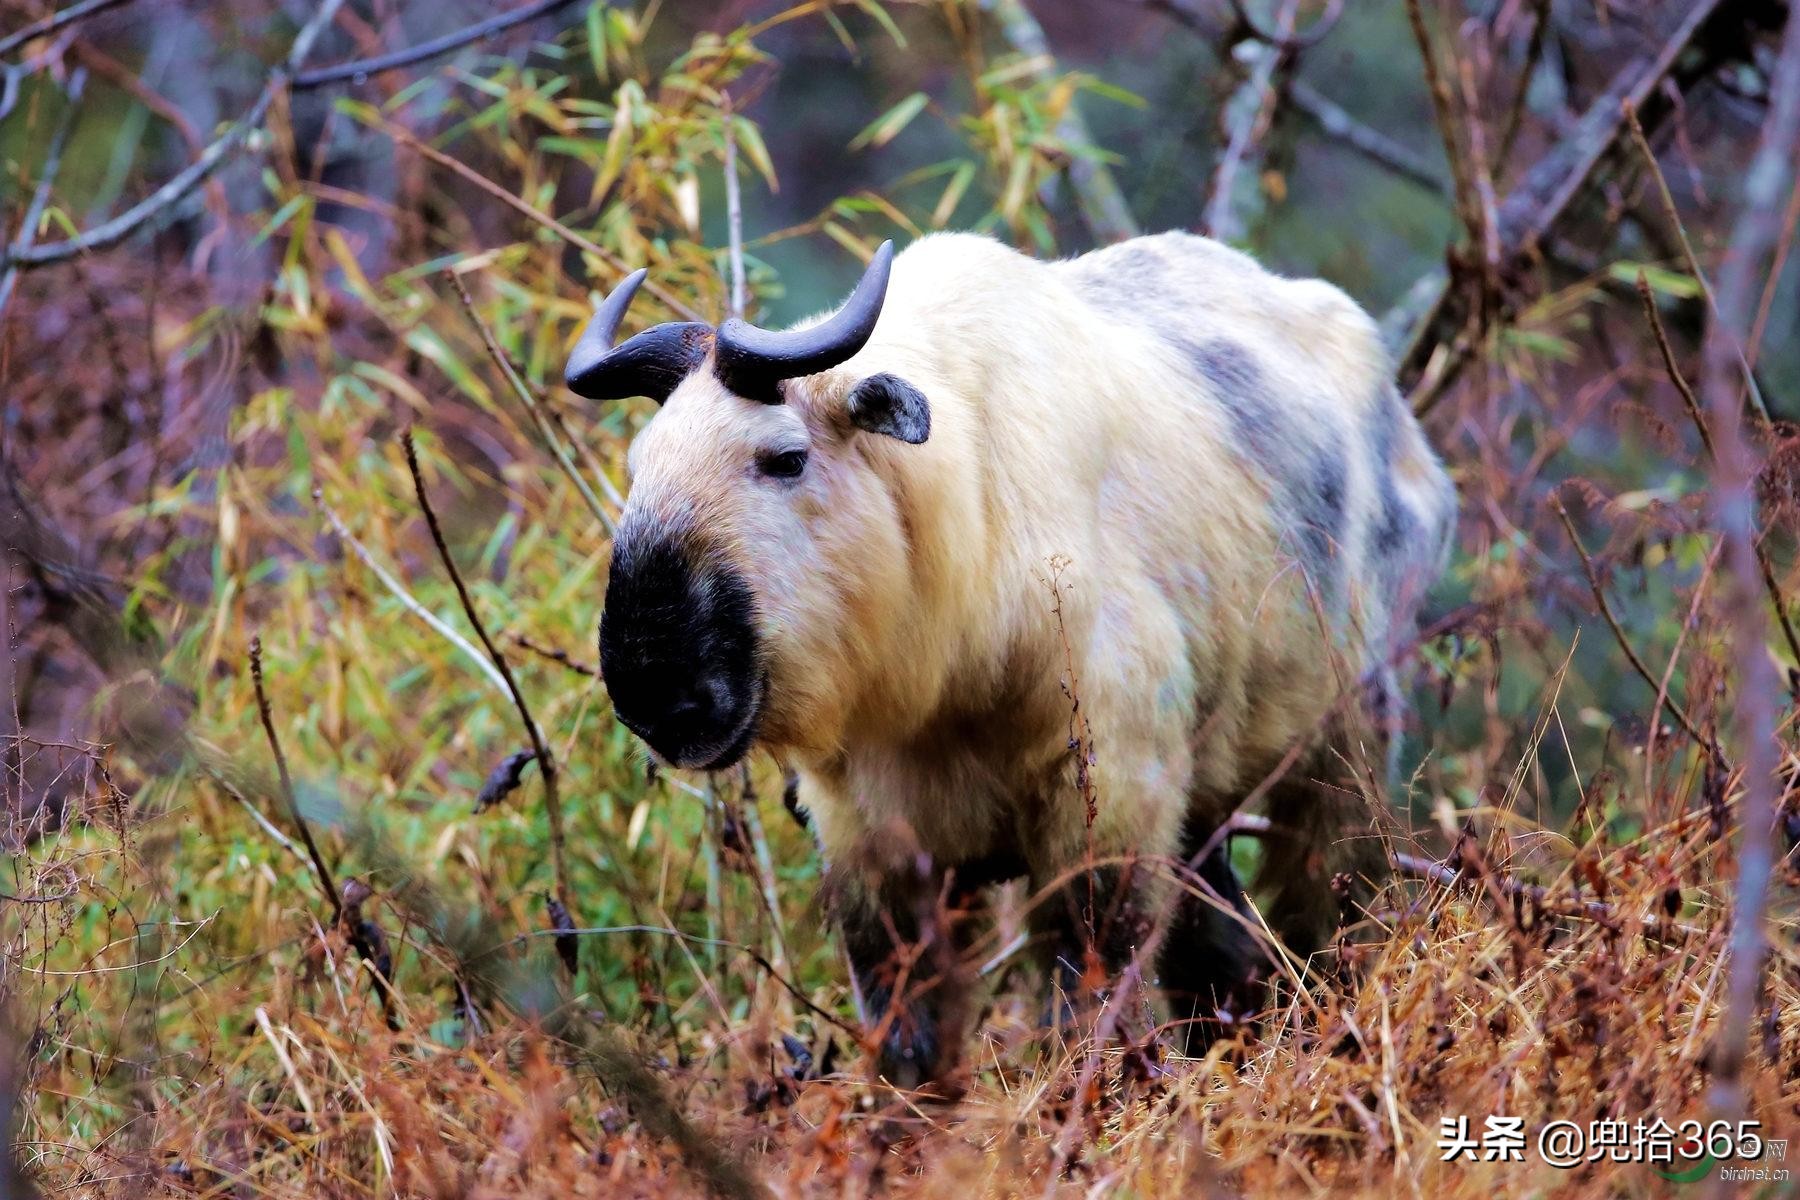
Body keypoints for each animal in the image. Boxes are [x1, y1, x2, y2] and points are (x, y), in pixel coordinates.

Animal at [564, 230, 1456, 1088]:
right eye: (640, 467)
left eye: (785, 458)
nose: (657, 692)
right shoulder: (869, 841)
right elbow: (908, 1040)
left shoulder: (1109, 797)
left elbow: (1088, 997)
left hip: (1342, 746)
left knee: (1340, 907)